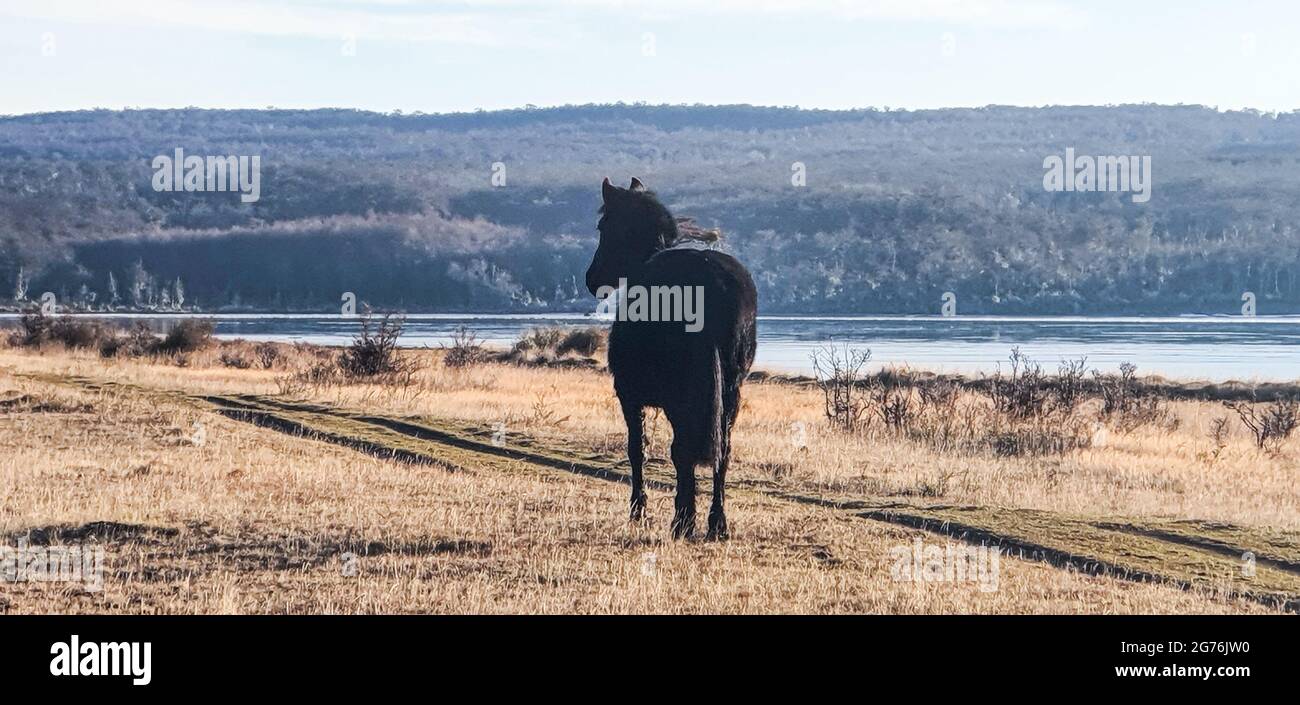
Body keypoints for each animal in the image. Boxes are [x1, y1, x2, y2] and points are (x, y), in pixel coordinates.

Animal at [585, 177, 757, 539]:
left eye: (603, 226)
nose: (592, 279)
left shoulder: (629, 396)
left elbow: (637, 448)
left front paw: (638, 510)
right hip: (730, 391)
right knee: (722, 451)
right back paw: (716, 523)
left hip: (682, 395)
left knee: (684, 450)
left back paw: (684, 520)